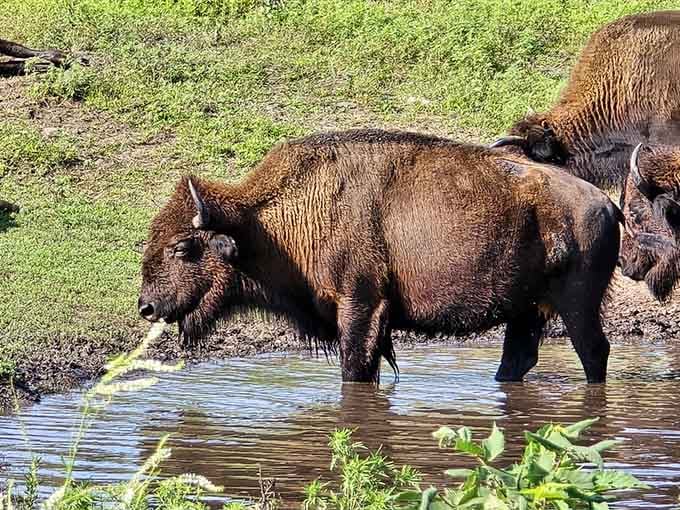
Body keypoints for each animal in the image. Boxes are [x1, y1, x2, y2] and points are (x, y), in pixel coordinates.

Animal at [139, 129, 621, 383]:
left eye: (182, 247)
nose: (146, 306)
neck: (270, 221)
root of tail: (604, 203)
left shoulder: (361, 307)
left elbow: (356, 368)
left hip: (577, 305)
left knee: (594, 351)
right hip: (526, 308)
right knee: (519, 358)